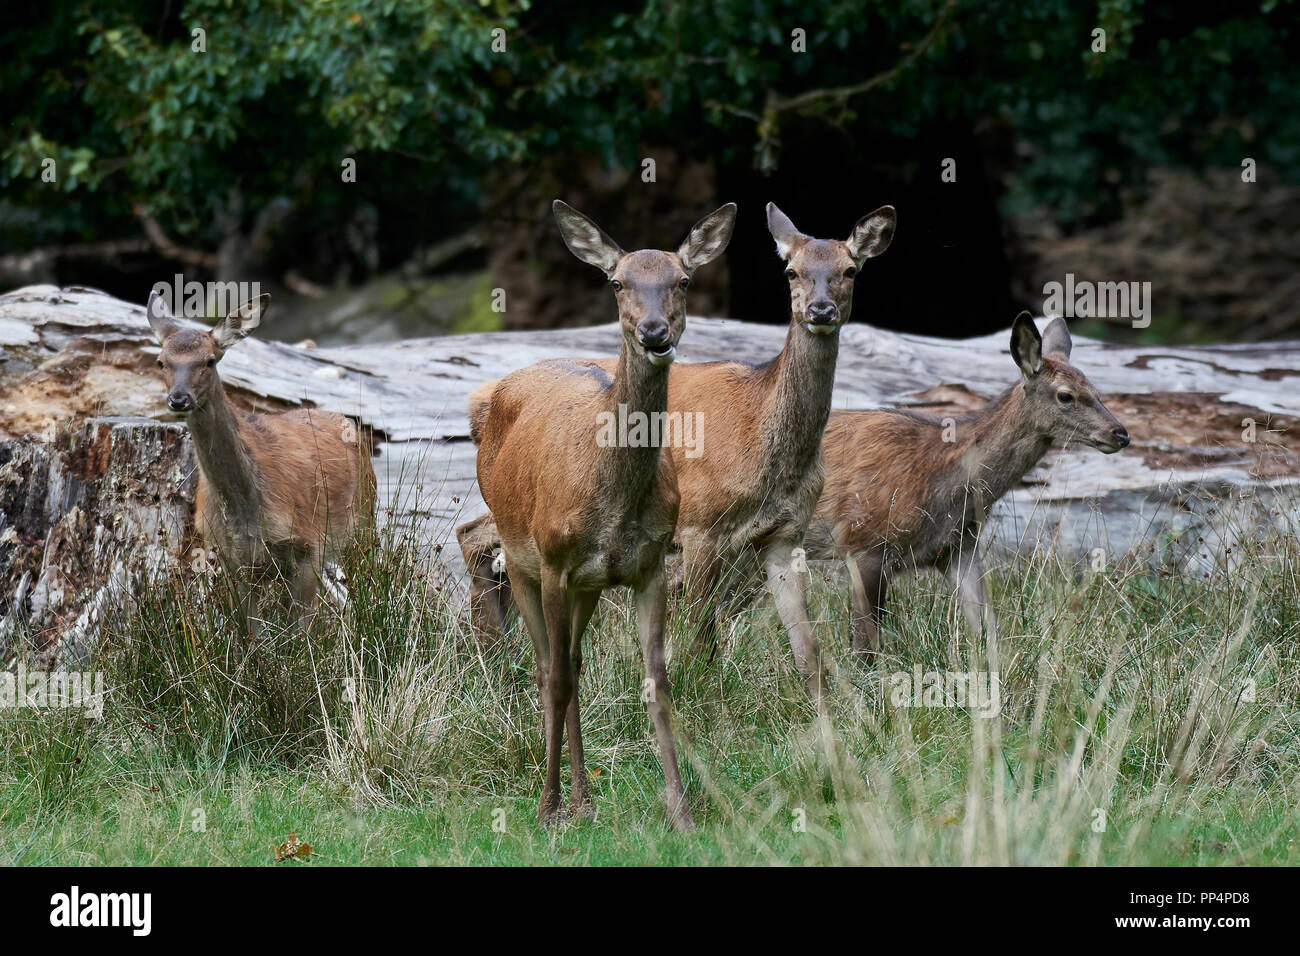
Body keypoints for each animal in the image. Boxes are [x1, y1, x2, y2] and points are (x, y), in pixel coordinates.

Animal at [146, 291, 376, 627]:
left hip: (364, 521)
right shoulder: (232, 560)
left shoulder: (307, 544)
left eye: (210, 360)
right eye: (161, 361)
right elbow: (249, 634)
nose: (178, 398)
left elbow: (300, 630)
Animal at [459, 202, 896, 703]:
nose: (820, 310)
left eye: (850, 269)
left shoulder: (787, 532)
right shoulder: (702, 525)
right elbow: (701, 636)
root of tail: (483, 397)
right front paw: (702, 697)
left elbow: (807, 647)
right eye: (791, 270)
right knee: (475, 536)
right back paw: (494, 656)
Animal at [470, 199, 736, 829]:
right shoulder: (554, 561)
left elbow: (658, 682)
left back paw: (585, 799)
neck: (614, 502)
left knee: (575, 660)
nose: (655, 332)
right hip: (521, 555)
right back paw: (562, 800)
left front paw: (681, 811)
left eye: (683, 280)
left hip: (588, 585)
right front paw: (545, 808)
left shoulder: (650, 565)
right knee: (549, 668)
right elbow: (556, 679)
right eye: (617, 282)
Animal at [804, 313, 1130, 659]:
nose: (1121, 434)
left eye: (1096, 390)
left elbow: (990, 626)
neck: (939, 477)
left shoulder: (959, 546)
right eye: (1065, 395)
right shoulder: (864, 542)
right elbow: (865, 650)